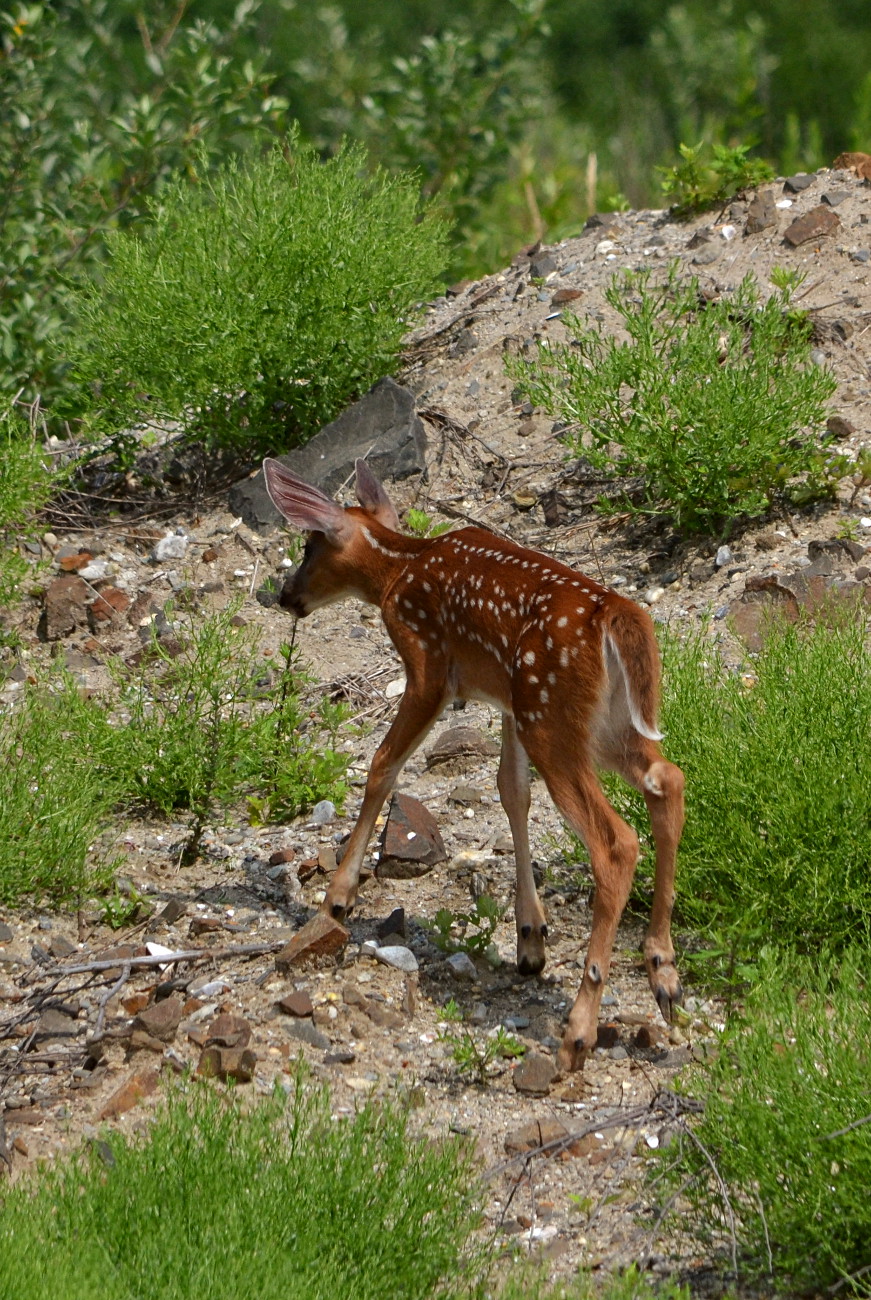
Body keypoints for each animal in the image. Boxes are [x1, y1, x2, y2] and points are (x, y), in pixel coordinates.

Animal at [263, 456, 685, 1072]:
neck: (398, 570)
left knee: (616, 841)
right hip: (593, 723)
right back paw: (664, 975)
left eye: (308, 544)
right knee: (667, 780)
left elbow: (383, 764)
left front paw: (339, 897)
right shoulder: (506, 702)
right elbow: (511, 792)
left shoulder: (427, 662)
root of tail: (618, 613)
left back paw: (578, 1031)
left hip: (552, 718)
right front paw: (530, 939)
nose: (284, 595)